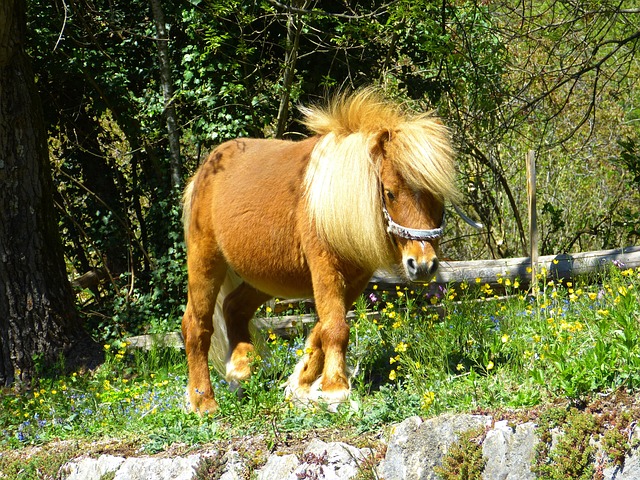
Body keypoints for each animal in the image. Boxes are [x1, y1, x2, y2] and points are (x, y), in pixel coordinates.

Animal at [181, 88, 461, 413]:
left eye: (438, 195)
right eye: (390, 193)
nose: (423, 265)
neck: (334, 204)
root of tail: (204, 171)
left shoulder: (354, 279)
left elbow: (322, 329)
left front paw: (301, 385)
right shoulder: (325, 268)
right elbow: (335, 328)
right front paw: (335, 389)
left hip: (263, 277)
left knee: (233, 308)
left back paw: (241, 372)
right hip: (206, 262)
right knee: (196, 325)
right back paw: (203, 401)